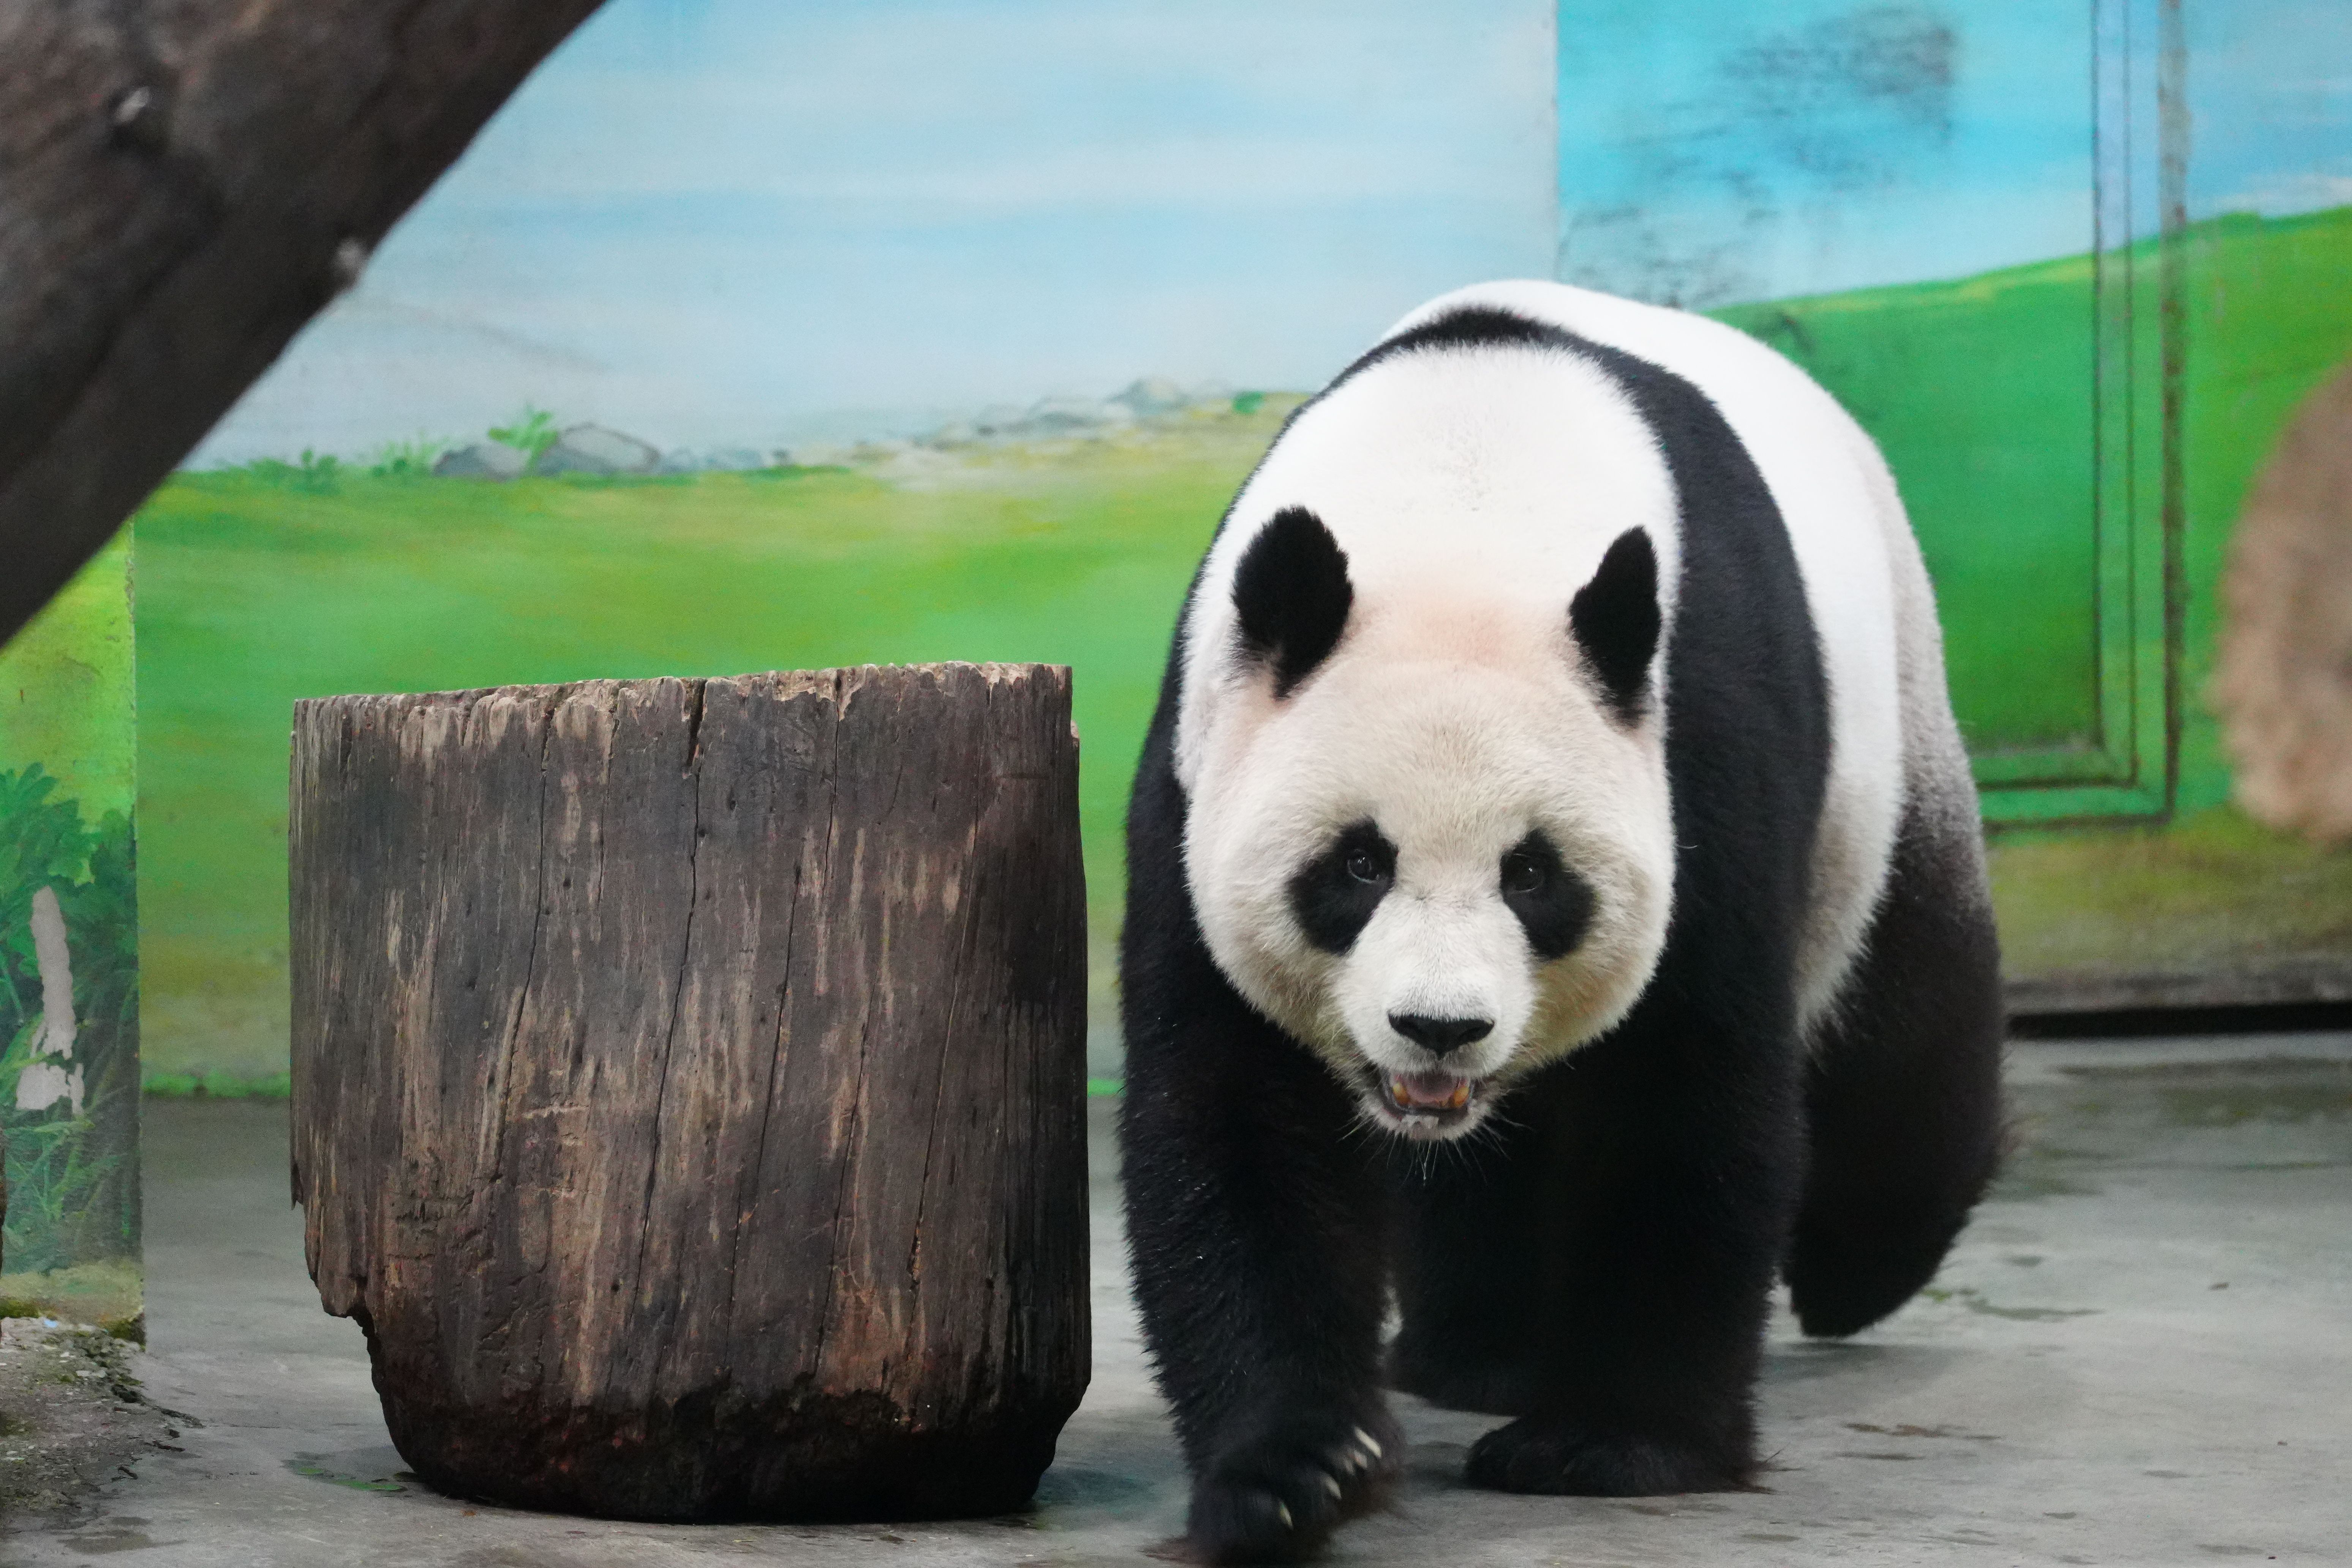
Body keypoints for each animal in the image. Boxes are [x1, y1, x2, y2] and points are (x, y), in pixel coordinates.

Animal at [1117, 280, 2006, 1563]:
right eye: (1357, 864)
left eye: (1534, 875)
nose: (1441, 1028)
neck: (1471, 487)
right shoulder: (1203, 759)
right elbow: (1235, 1116)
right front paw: (1297, 1471)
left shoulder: (1699, 738)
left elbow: (1684, 1083)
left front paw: (1612, 1445)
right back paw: (1476, 1350)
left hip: (1886, 748)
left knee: (1906, 1015)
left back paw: (1859, 1270)